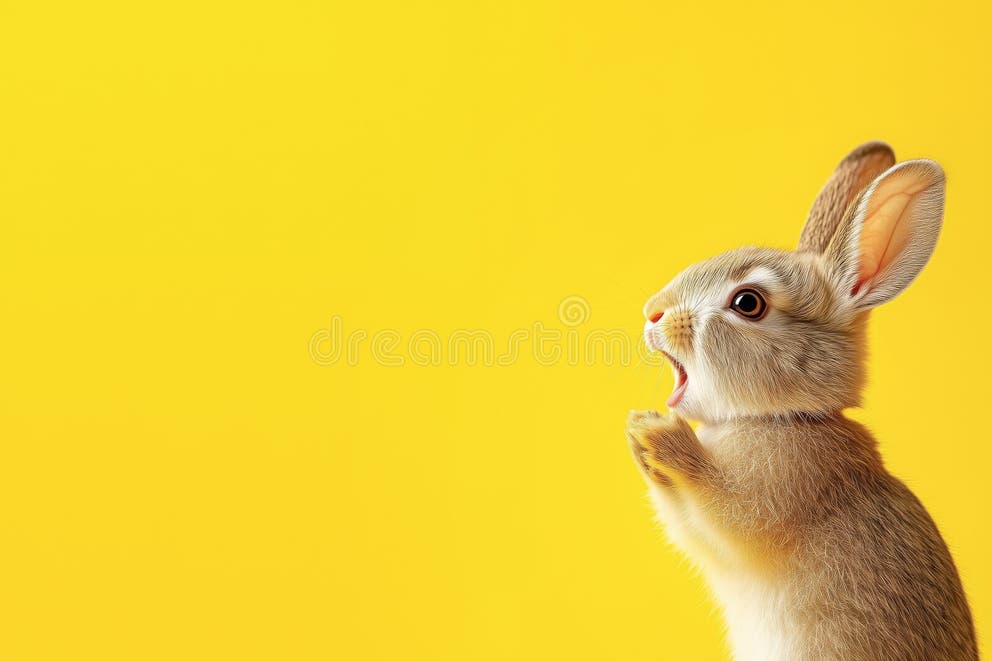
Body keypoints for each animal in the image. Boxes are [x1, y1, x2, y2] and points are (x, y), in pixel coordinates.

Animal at [626, 142, 977, 660]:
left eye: (747, 303)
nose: (654, 311)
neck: (783, 416)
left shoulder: (764, 499)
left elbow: (720, 505)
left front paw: (658, 435)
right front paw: (640, 432)